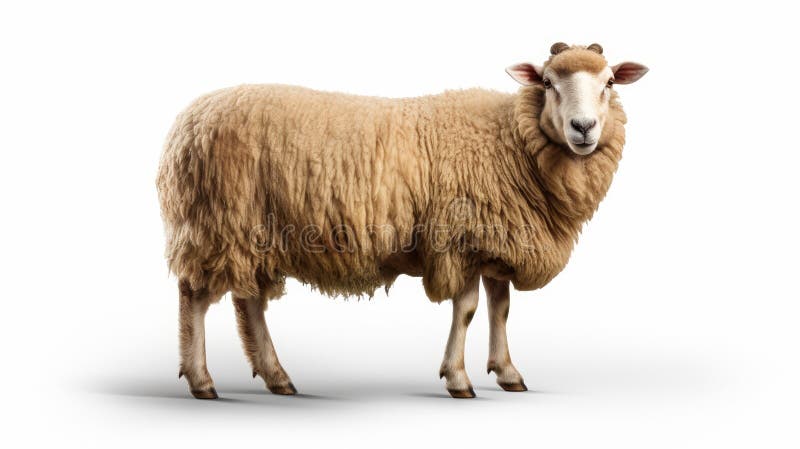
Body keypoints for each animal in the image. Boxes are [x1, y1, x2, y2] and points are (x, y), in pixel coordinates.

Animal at [156, 42, 648, 399]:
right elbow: (468, 310)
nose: (583, 128)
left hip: (253, 230)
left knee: (249, 301)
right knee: (194, 297)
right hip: (218, 222)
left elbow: (501, 308)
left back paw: (276, 376)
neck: (510, 142)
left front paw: (507, 372)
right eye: (547, 82)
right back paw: (202, 381)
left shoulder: (495, 239)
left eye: (608, 82)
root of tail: (186, 124)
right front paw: (458, 379)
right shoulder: (459, 238)